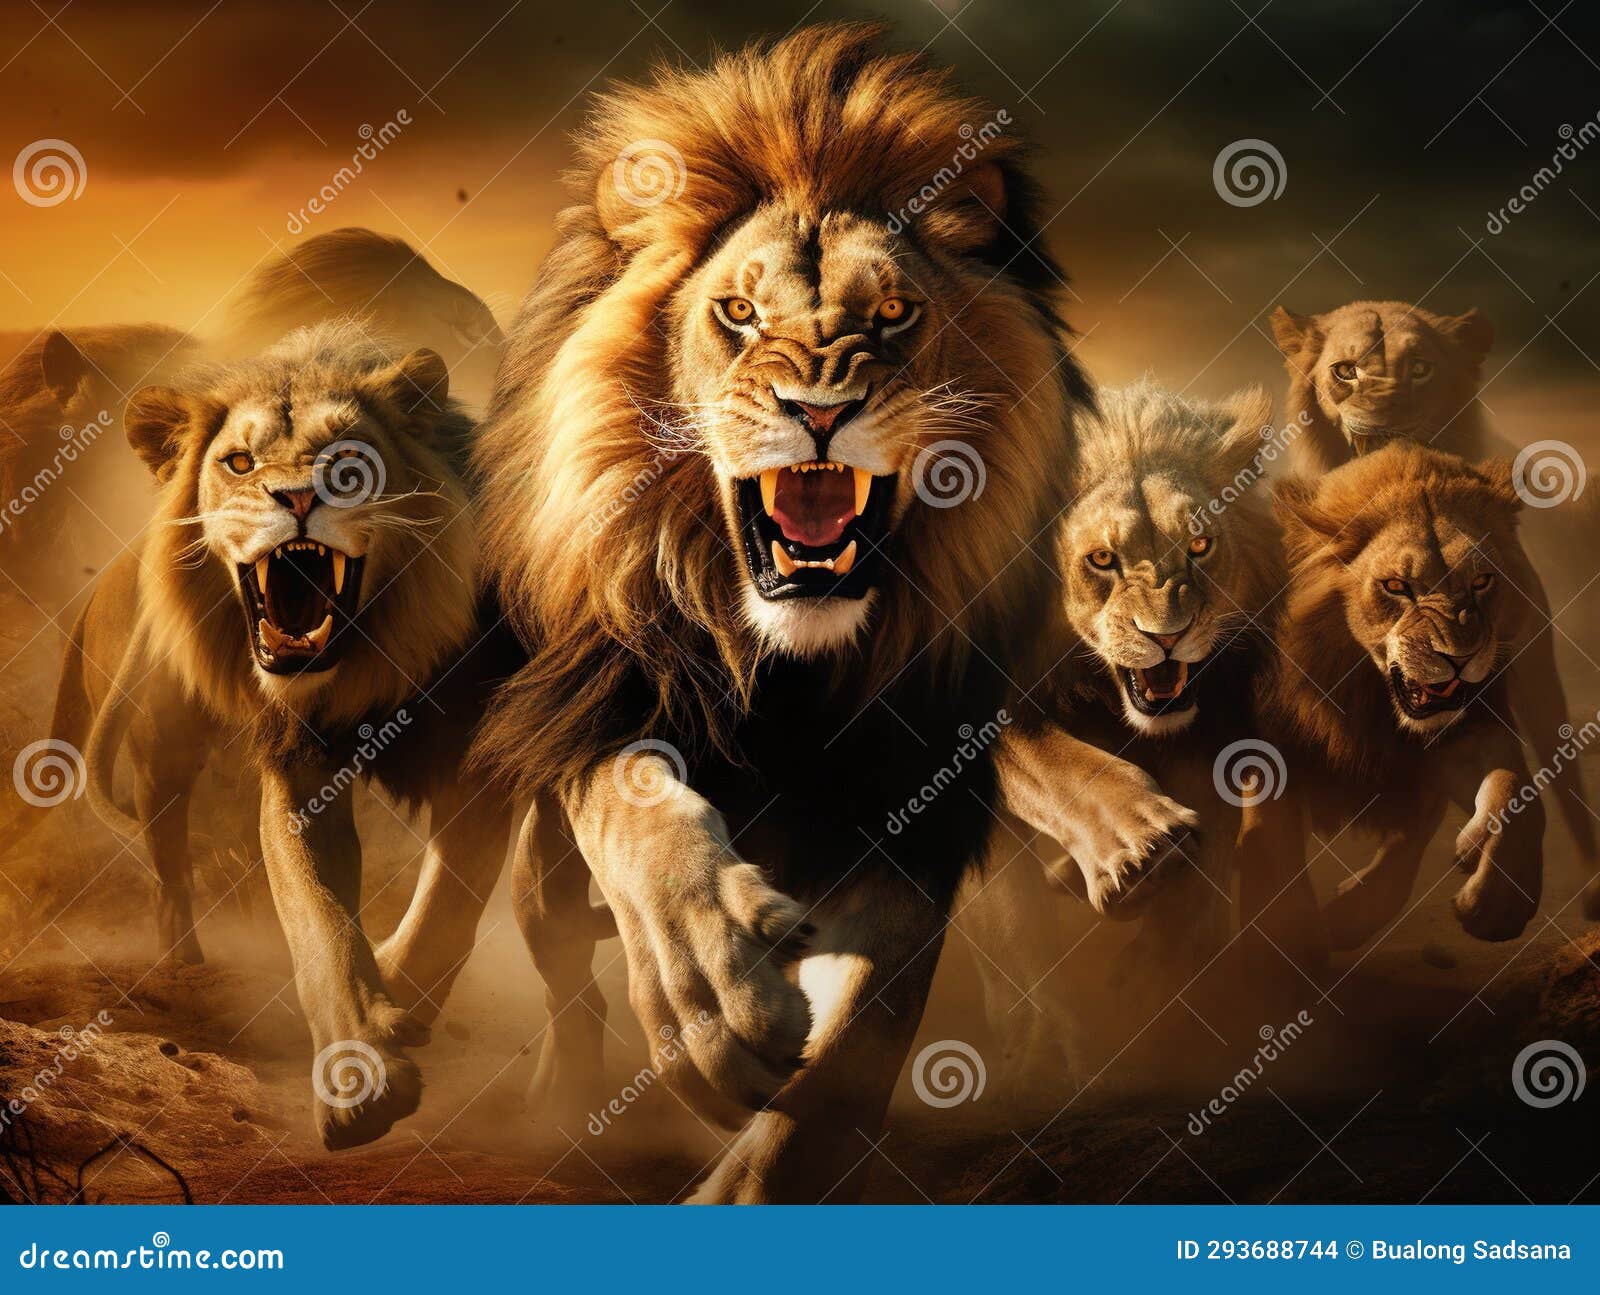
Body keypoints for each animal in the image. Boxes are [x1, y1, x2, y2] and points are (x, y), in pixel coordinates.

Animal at [73, 322, 519, 1149]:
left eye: (349, 461)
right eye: (240, 462)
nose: (299, 497)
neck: (364, 665)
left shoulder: (480, 759)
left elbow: (448, 900)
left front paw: (398, 988)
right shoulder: (298, 768)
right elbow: (316, 920)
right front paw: (359, 1072)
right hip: (164, 742)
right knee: (168, 859)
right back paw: (182, 962)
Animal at [469, 25, 1187, 1203]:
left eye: (893, 313)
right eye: (738, 312)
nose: (818, 408)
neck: (792, 672)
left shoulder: (912, 804)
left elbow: (855, 1051)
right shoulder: (616, 695)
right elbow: (640, 814)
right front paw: (717, 997)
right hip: (544, 874)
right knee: (561, 959)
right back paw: (564, 1099)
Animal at [1261, 442, 1546, 949]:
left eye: (1481, 581)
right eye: (1395, 586)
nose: (1459, 657)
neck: (1362, 697)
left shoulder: (1464, 729)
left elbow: (1517, 789)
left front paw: (1498, 903)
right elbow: (1273, 857)